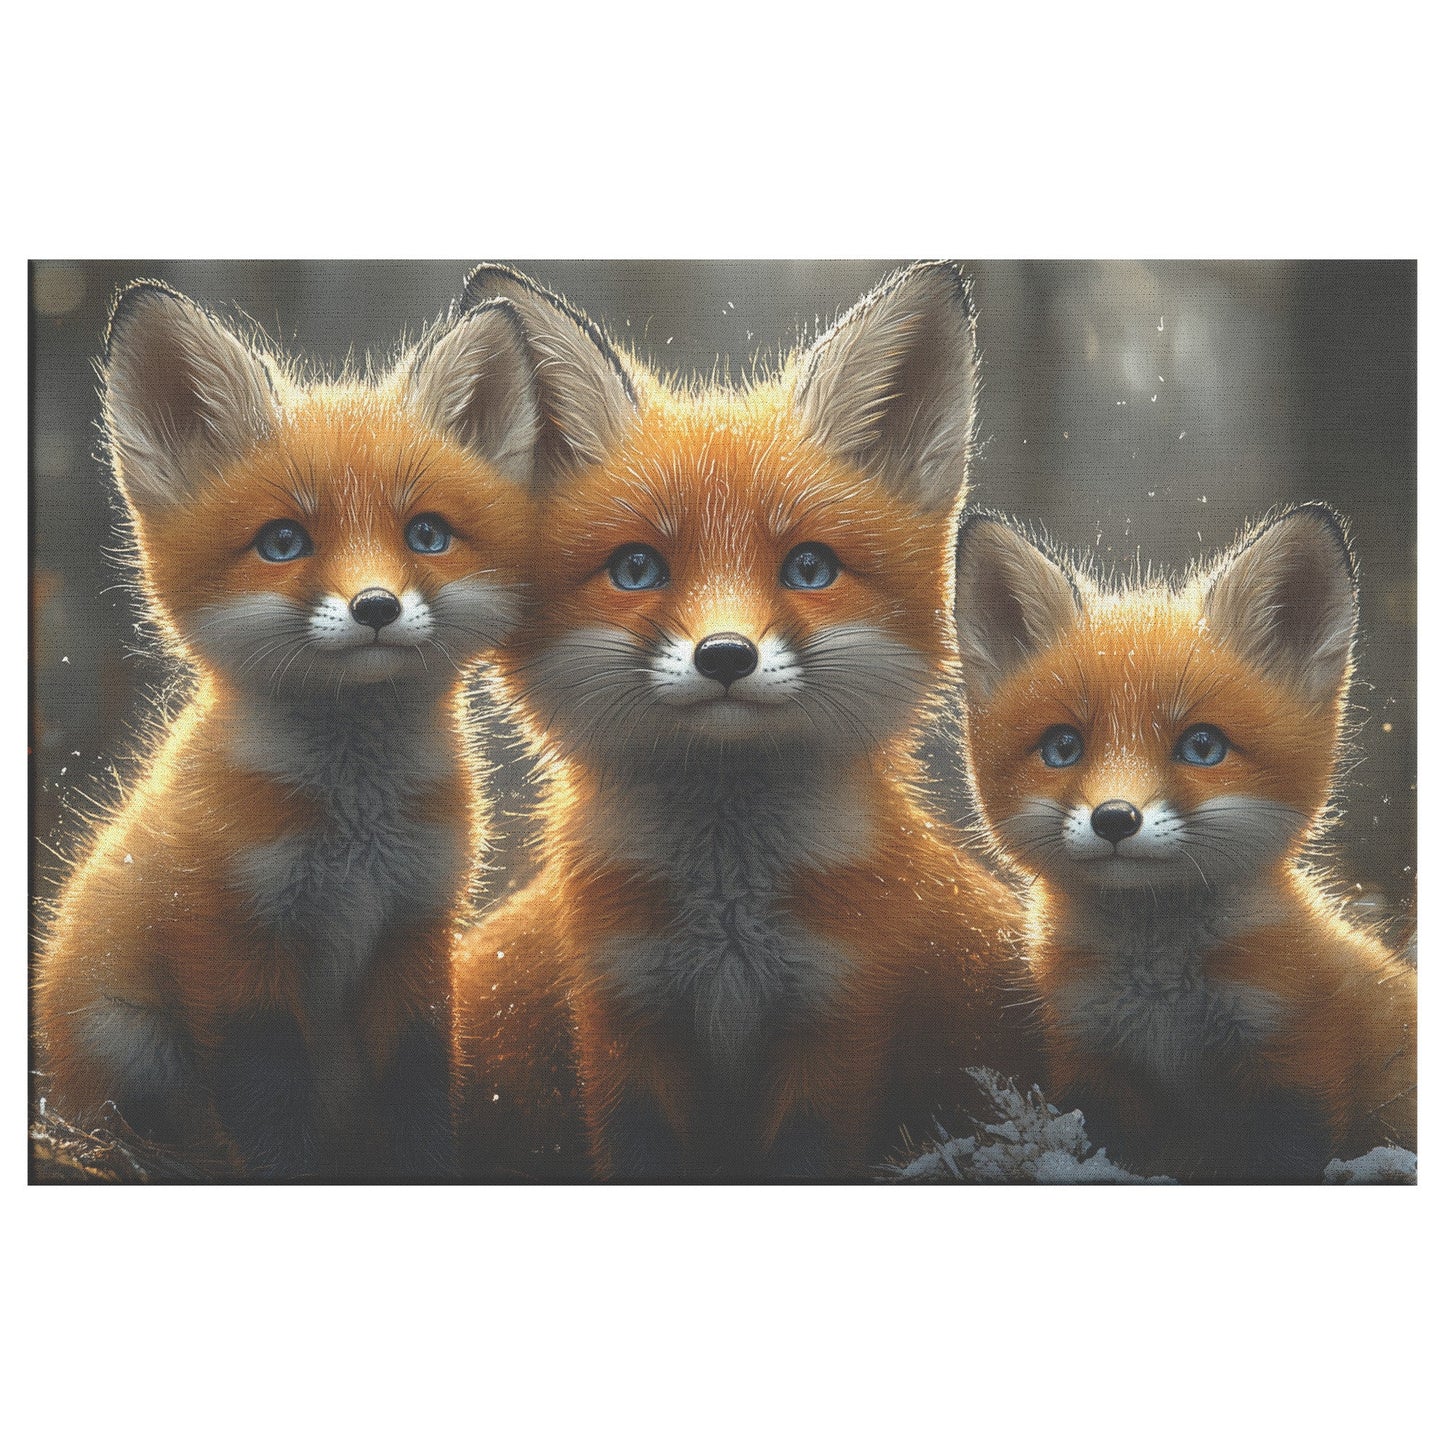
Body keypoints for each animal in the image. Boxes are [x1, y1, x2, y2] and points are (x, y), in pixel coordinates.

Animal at [34, 281, 557, 1178]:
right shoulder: (232, 945)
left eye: (426, 534)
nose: (375, 606)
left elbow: (421, 1089)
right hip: (130, 1039)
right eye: (283, 542)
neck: (354, 836)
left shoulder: (415, 932)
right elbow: (268, 1101)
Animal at [452, 262, 1042, 1180]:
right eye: (636, 568)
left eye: (808, 568)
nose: (725, 654)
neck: (726, 938)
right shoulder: (622, 1021)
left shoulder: (838, 1020)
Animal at [952, 505, 1416, 1181]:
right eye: (1062, 747)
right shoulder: (1090, 1063)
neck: (1163, 1005)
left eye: (1202, 746)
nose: (1115, 818)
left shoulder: (1295, 1058)